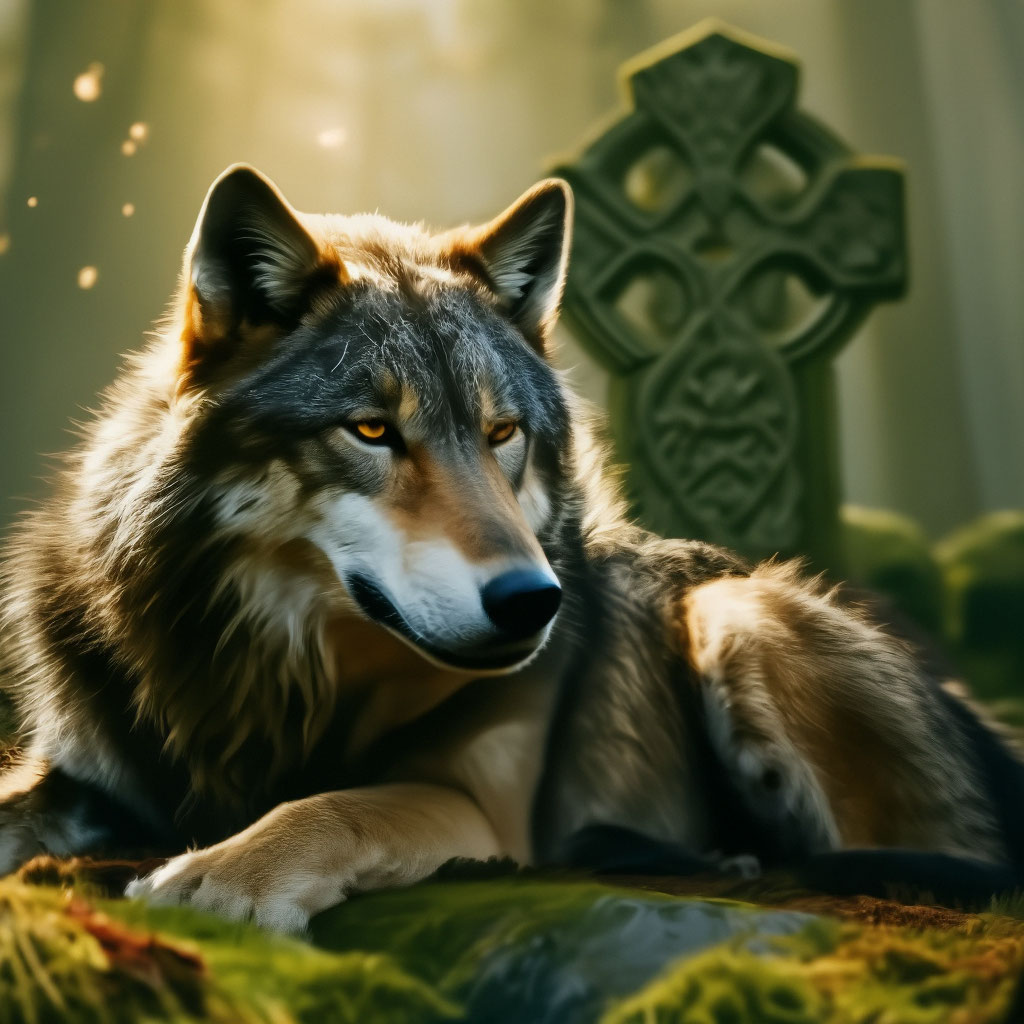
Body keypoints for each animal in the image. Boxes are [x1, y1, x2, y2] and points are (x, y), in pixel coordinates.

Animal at [0, 166, 1021, 932]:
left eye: (501, 433)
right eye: (372, 431)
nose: (535, 600)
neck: (274, 678)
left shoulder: (485, 809)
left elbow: (332, 806)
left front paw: (224, 878)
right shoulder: (81, 773)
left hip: (735, 611)